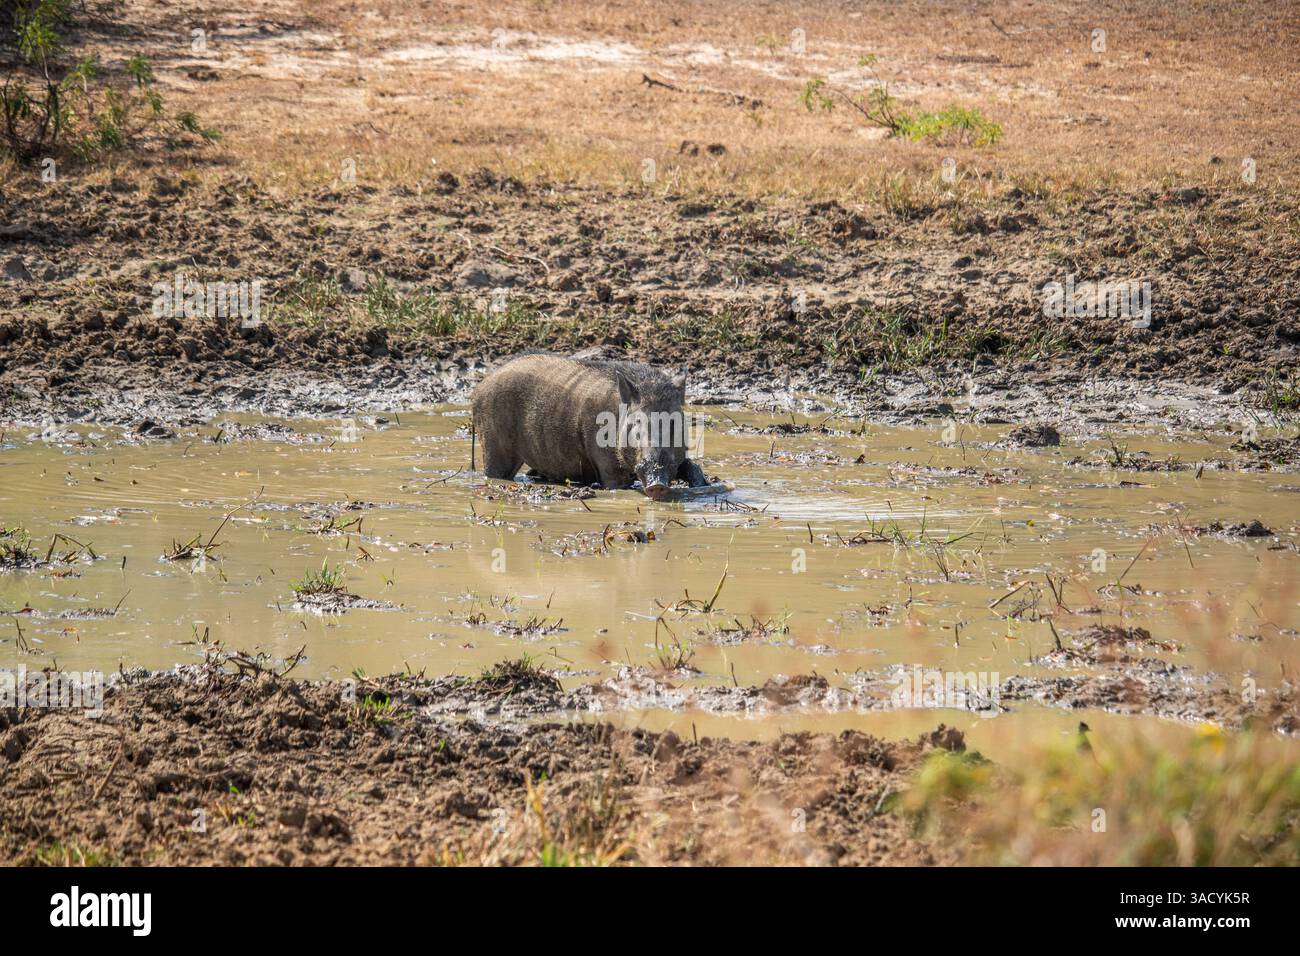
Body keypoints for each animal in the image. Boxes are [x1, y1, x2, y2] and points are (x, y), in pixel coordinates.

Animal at [471, 353, 709, 499]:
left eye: (673, 422)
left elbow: (691, 467)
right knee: (495, 472)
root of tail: (478, 389)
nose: (657, 485)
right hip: (493, 445)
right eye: (637, 423)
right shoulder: (609, 469)